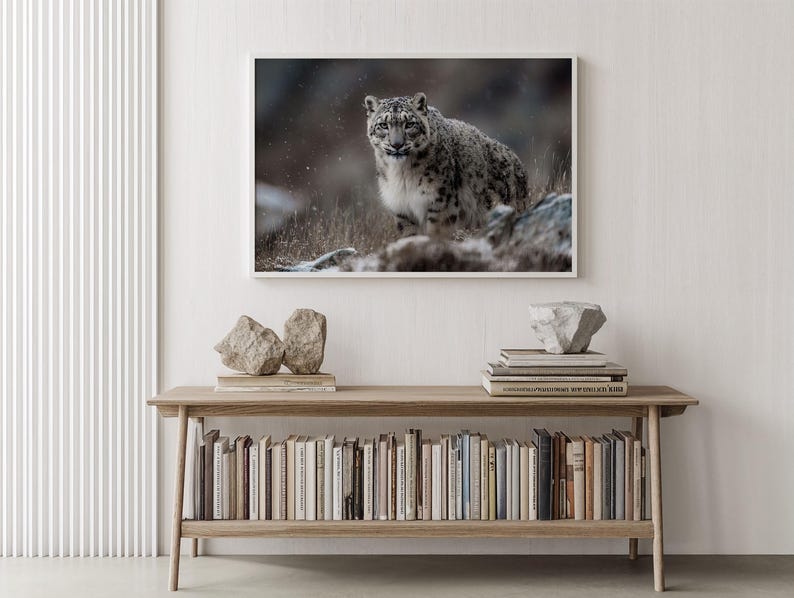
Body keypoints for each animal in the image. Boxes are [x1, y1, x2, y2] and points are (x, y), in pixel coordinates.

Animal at [364, 92, 529, 237]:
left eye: (409, 124)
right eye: (383, 125)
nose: (397, 144)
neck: (402, 174)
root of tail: (517, 161)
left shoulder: (441, 201)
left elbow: (437, 232)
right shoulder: (402, 209)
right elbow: (410, 235)